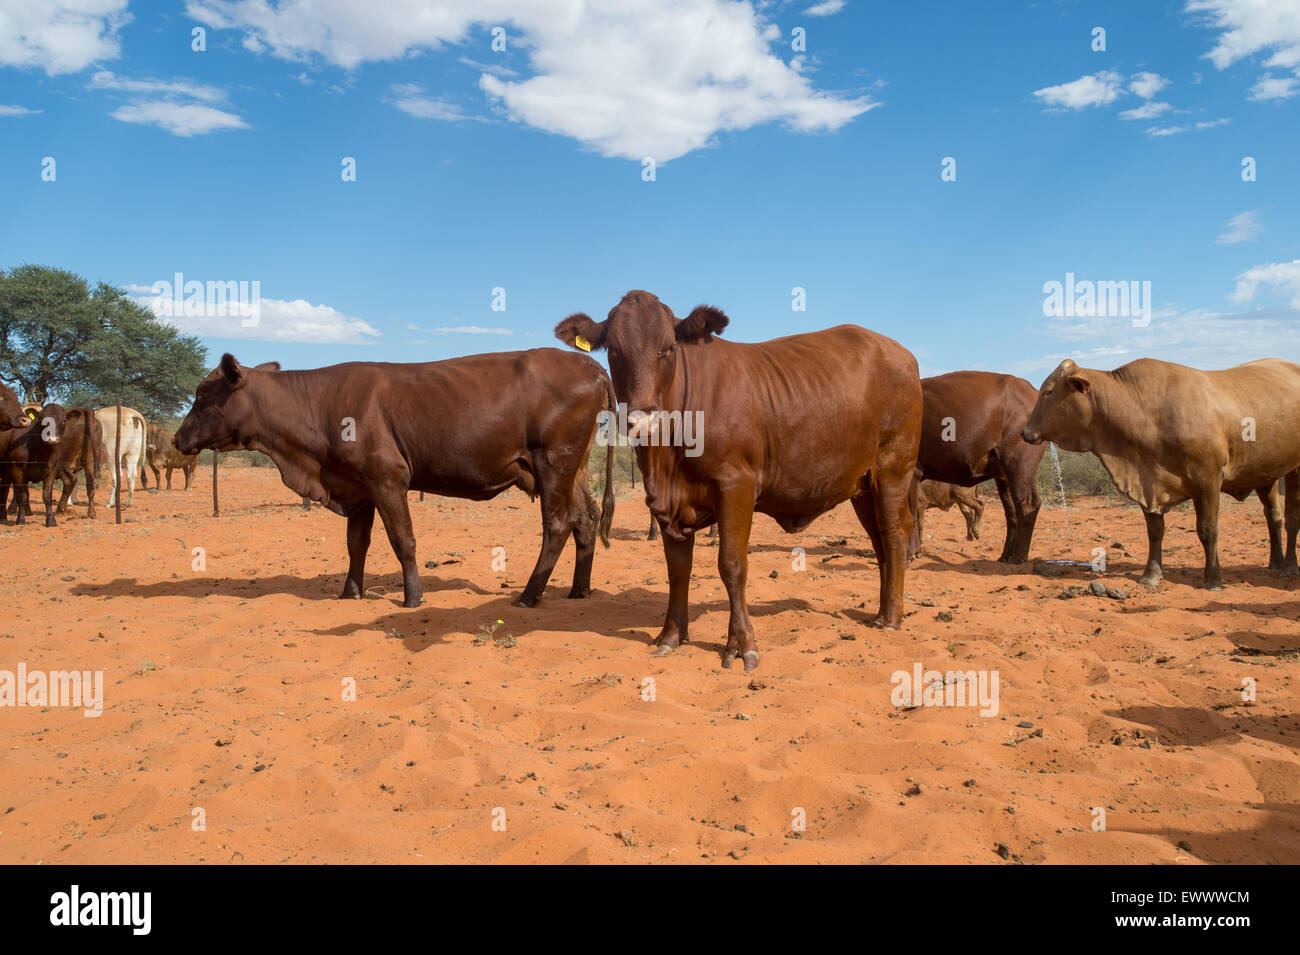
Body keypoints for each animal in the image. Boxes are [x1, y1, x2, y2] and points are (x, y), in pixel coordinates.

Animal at [174, 352, 615, 609]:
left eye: (202, 396)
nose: (178, 439)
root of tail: (591, 365)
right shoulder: (357, 487)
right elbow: (356, 544)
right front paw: (350, 592)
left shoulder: (387, 478)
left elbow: (403, 541)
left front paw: (413, 598)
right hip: (573, 468)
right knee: (587, 518)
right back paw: (579, 589)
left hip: (552, 464)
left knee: (558, 524)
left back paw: (528, 595)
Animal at [555, 290, 922, 671]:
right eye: (613, 349)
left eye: (668, 347)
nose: (643, 420)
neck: (666, 460)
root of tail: (897, 350)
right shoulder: (669, 504)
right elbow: (677, 569)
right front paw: (671, 636)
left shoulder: (736, 487)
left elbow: (732, 565)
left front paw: (742, 643)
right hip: (863, 484)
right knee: (879, 539)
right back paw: (881, 611)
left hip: (893, 468)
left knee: (895, 532)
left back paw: (892, 617)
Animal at [912, 372, 1045, 563]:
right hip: (1008, 477)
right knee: (1013, 513)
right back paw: (1005, 555)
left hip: (1018, 469)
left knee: (1026, 508)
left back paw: (1018, 557)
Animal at [1022, 357, 1300, 589]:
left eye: (1048, 391)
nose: (1025, 432)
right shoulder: (1147, 484)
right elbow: (1155, 532)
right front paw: (1151, 575)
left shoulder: (1207, 479)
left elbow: (1207, 530)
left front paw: (1213, 579)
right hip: (1265, 475)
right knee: (1273, 517)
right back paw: (1274, 562)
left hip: (1295, 470)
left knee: (1291, 518)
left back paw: (1288, 567)